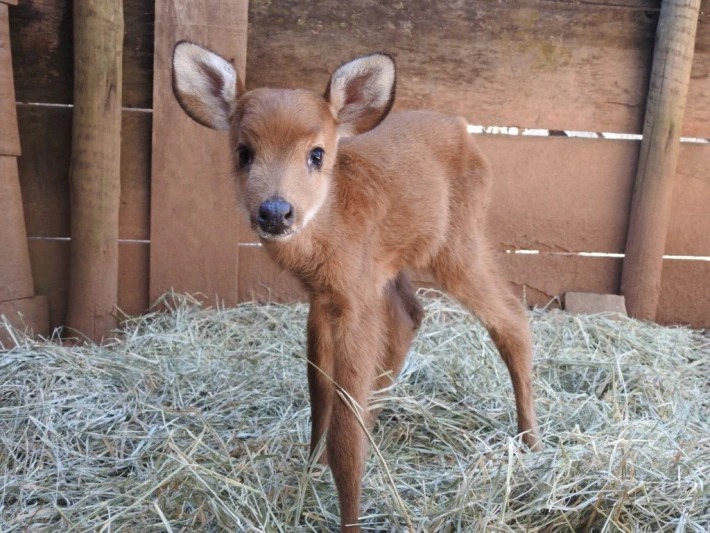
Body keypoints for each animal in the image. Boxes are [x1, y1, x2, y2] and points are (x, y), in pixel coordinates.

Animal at [172, 41, 542, 531]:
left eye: (316, 154)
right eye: (244, 151)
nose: (275, 211)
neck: (331, 226)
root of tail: (464, 129)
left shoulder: (354, 301)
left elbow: (345, 432)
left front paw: (349, 516)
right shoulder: (324, 297)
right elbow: (318, 392)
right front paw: (310, 469)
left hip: (458, 244)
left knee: (512, 318)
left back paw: (532, 440)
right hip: (395, 263)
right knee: (410, 316)